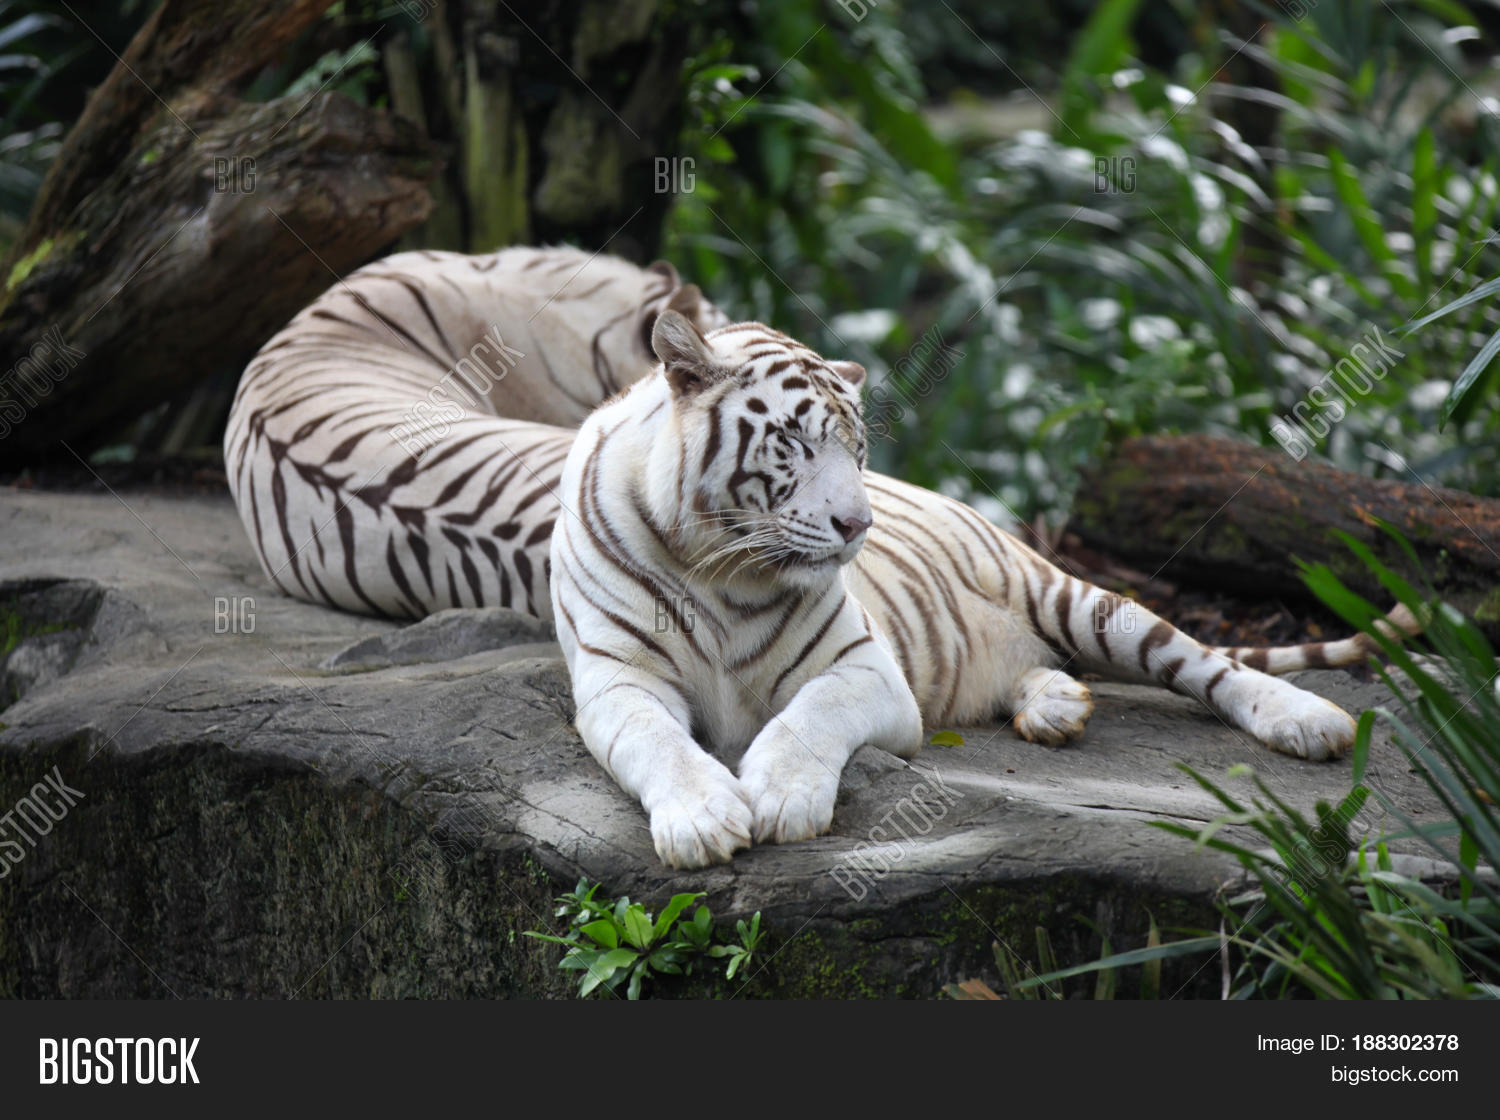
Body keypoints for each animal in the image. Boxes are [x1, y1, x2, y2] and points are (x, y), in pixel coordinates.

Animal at [225, 245, 1409, 869]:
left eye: (859, 447)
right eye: (794, 444)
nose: (858, 525)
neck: (714, 564)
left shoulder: (866, 670)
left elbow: (806, 720)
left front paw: (781, 798)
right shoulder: (615, 685)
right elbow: (659, 746)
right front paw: (705, 818)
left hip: (1080, 597)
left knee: (1203, 662)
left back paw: (1305, 722)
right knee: (1047, 672)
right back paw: (1052, 707)